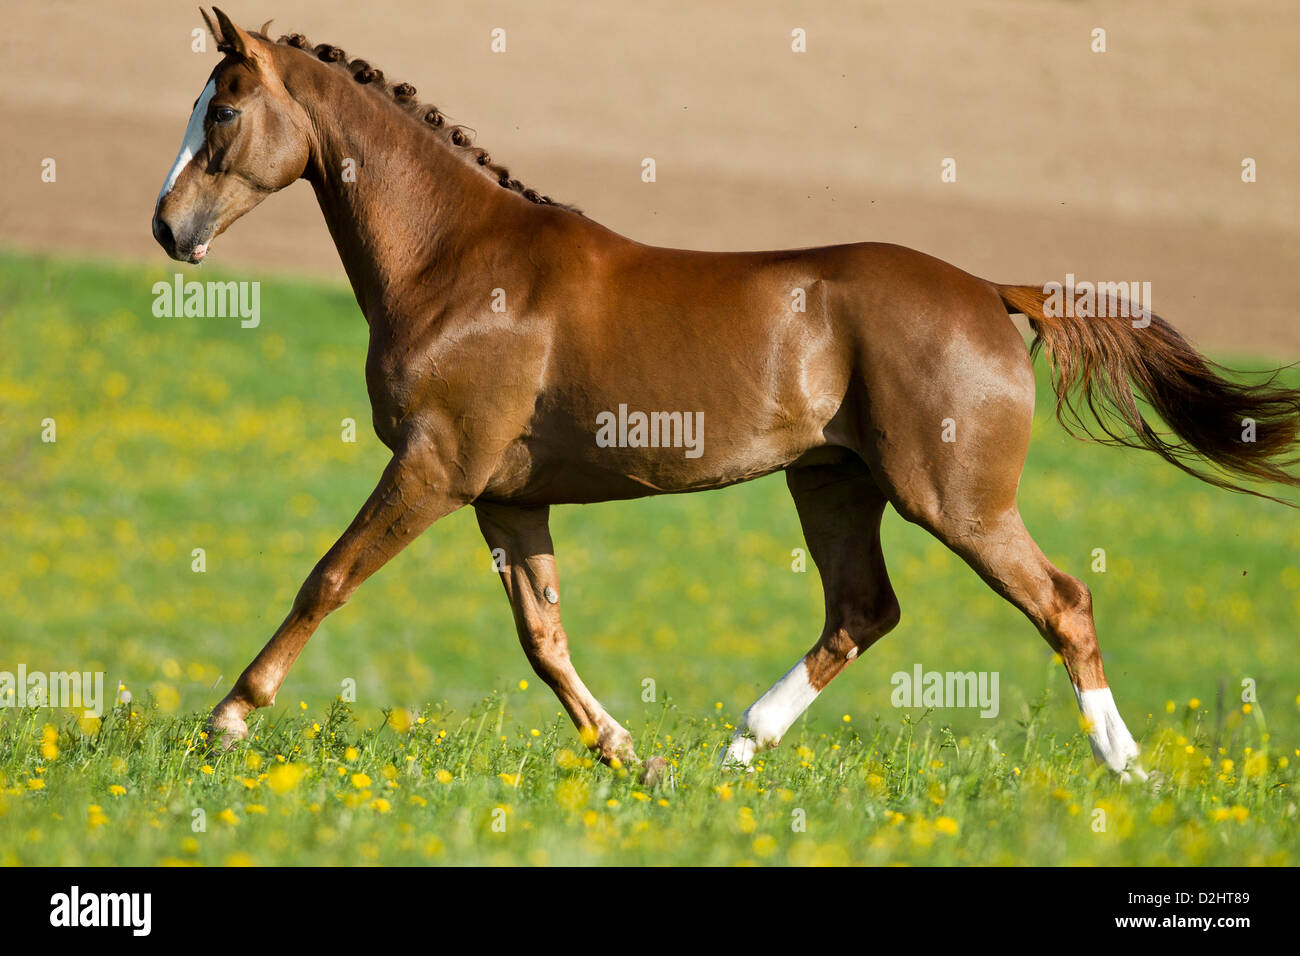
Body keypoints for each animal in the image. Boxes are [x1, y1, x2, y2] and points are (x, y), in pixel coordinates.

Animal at [153, 10, 1300, 783]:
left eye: (226, 110)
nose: (167, 228)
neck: (457, 263)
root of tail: (990, 292)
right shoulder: (509, 496)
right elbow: (542, 638)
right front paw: (630, 755)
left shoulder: (435, 467)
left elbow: (328, 579)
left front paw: (226, 721)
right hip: (833, 483)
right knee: (862, 610)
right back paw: (736, 753)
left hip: (955, 499)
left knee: (1061, 601)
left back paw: (1125, 769)